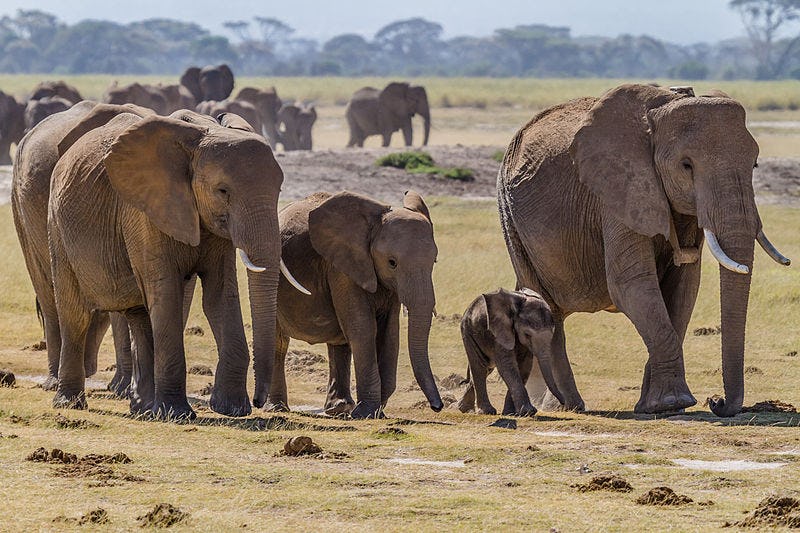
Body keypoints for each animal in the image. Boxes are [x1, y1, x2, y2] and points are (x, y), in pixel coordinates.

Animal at [45, 107, 306, 419]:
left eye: (279, 190)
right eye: (222, 191)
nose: (259, 401)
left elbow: (220, 296)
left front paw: (232, 409)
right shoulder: (145, 212)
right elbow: (166, 290)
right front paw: (176, 413)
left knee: (140, 314)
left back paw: (143, 409)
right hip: (57, 226)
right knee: (75, 312)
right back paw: (70, 402)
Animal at [265, 190, 443, 418]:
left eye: (434, 261)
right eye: (392, 263)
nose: (437, 407)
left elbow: (389, 333)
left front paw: (375, 412)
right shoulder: (342, 267)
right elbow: (363, 329)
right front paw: (366, 413)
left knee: (339, 341)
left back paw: (338, 409)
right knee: (279, 341)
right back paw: (278, 407)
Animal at [456, 288, 565, 417]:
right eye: (527, 334)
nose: (563, 402)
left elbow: (524, 366)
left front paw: (511, 413)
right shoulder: (498, 332)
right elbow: (507, 365)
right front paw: (528, 412)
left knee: (487, 368)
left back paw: (464, 408)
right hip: (468, 331)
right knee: (480, 367)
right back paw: (486, 411)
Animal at [497, 84, 791, 417]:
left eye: (754, 163)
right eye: (686, 165)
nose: (717, 401)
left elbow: (683, 287)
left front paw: (656, 406)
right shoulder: (619, 190)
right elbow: (632, 285)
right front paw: (673, 403)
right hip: (509, 215)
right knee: (547, 307)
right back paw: (570, 406)